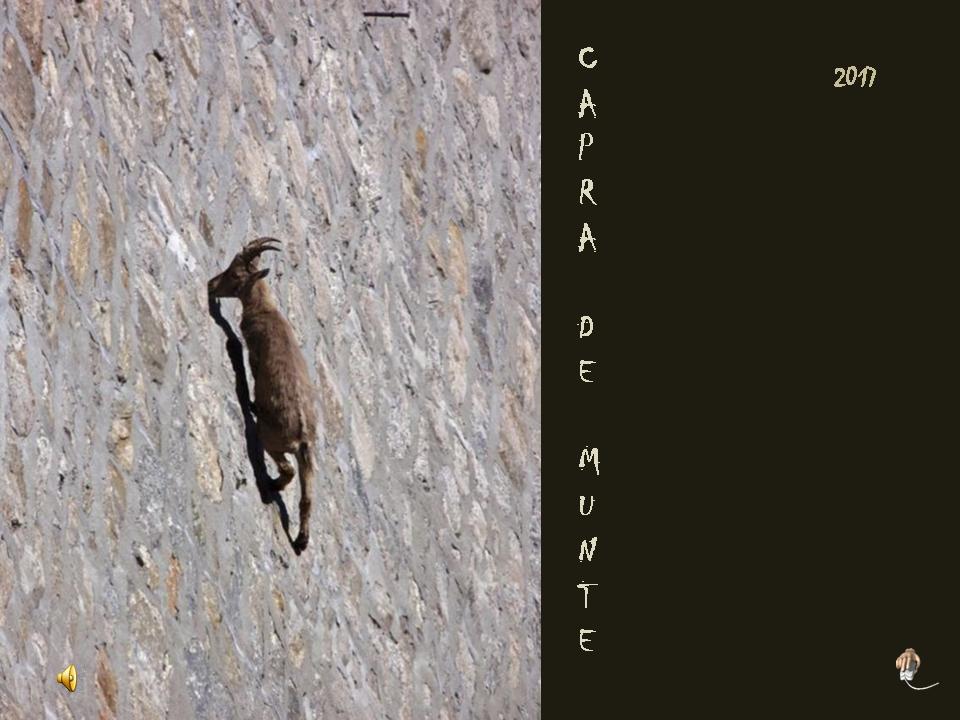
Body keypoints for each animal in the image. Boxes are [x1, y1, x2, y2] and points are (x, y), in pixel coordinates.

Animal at [208, 237, 318, 553]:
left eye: (235, 274)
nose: (211, 285)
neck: (266, 309)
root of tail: (302, 435)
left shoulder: (254, 351)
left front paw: (253, 403)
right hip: (309, 462)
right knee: (307, 498)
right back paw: (301, 540)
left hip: (271, 439)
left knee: (287, 469)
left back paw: (270, 485)